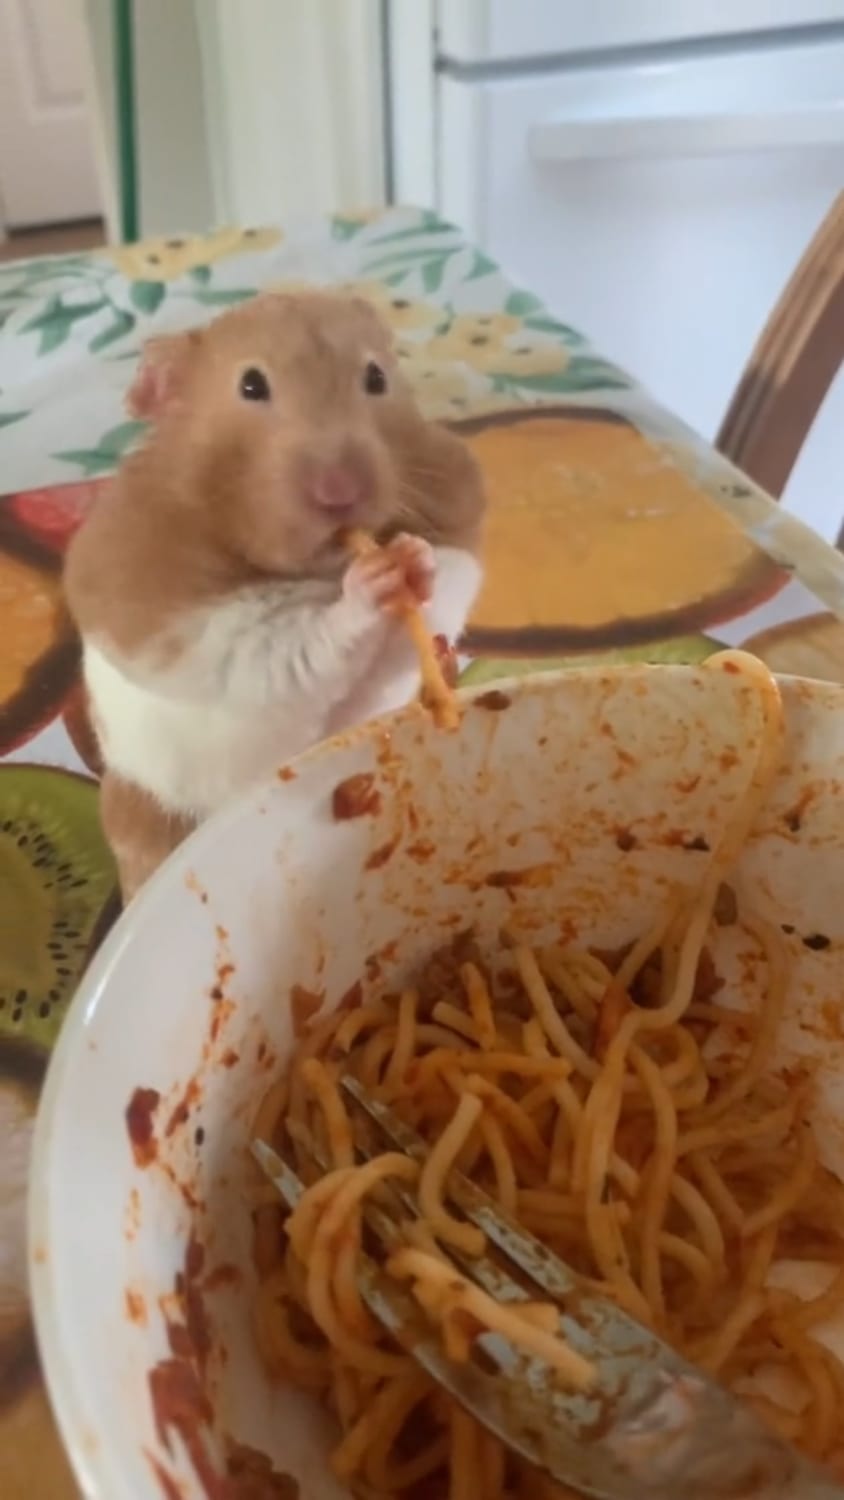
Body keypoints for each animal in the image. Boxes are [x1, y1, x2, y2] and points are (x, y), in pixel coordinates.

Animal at [65, 290, 486, 898]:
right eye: (250, 386)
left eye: (376, 377)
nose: (340, 492)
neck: (323, 566)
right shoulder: (186, 626)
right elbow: (289, 640)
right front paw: (373, 584)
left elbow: (434, 603)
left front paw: (416, 558)